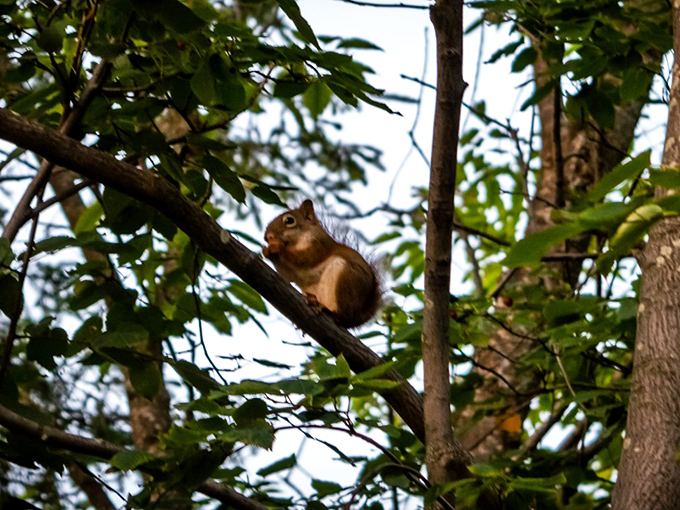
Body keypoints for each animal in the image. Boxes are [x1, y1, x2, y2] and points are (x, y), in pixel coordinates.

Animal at [262, 200, 381, 328]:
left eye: (289, 220)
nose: (266, 237)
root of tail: (355, 320)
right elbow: (288, 275)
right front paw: (266, 252)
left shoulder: (319, 247)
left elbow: (303, 259)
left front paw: (278, 248)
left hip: (347, 281)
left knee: (342, 315)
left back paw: (330, 312)